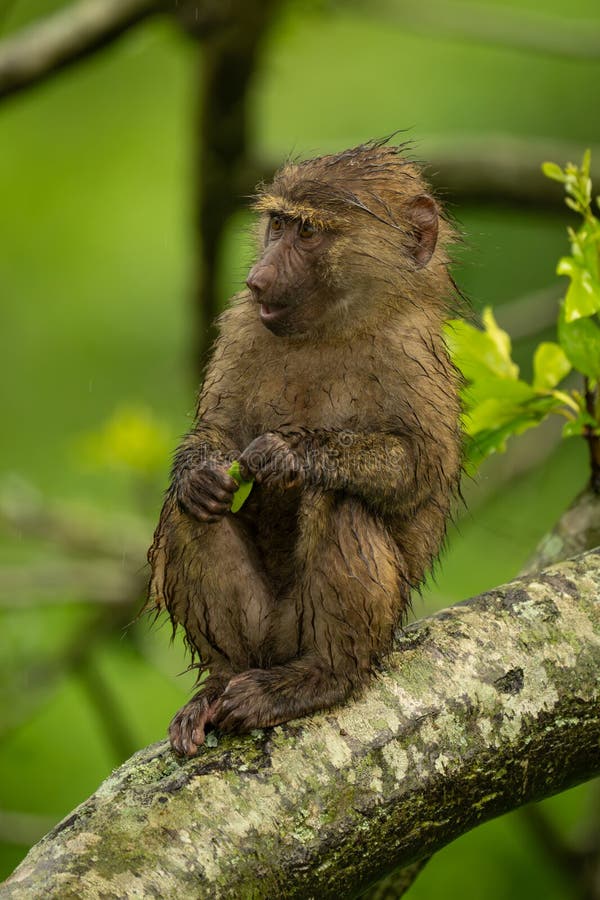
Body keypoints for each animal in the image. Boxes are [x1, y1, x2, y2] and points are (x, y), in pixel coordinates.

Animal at [147, 139, 462, 757]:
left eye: (309, 233)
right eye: (277, 224)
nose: (258, 278)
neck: (332, 330)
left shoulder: (411, 348)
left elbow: (422, 466)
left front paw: (293, 455)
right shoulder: (241, 325)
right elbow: (215, 434)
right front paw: (199, 471)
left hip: (314, 627)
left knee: (340, 501)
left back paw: (319, 678)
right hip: (263, 627)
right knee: (190, 514)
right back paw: (219, 682)